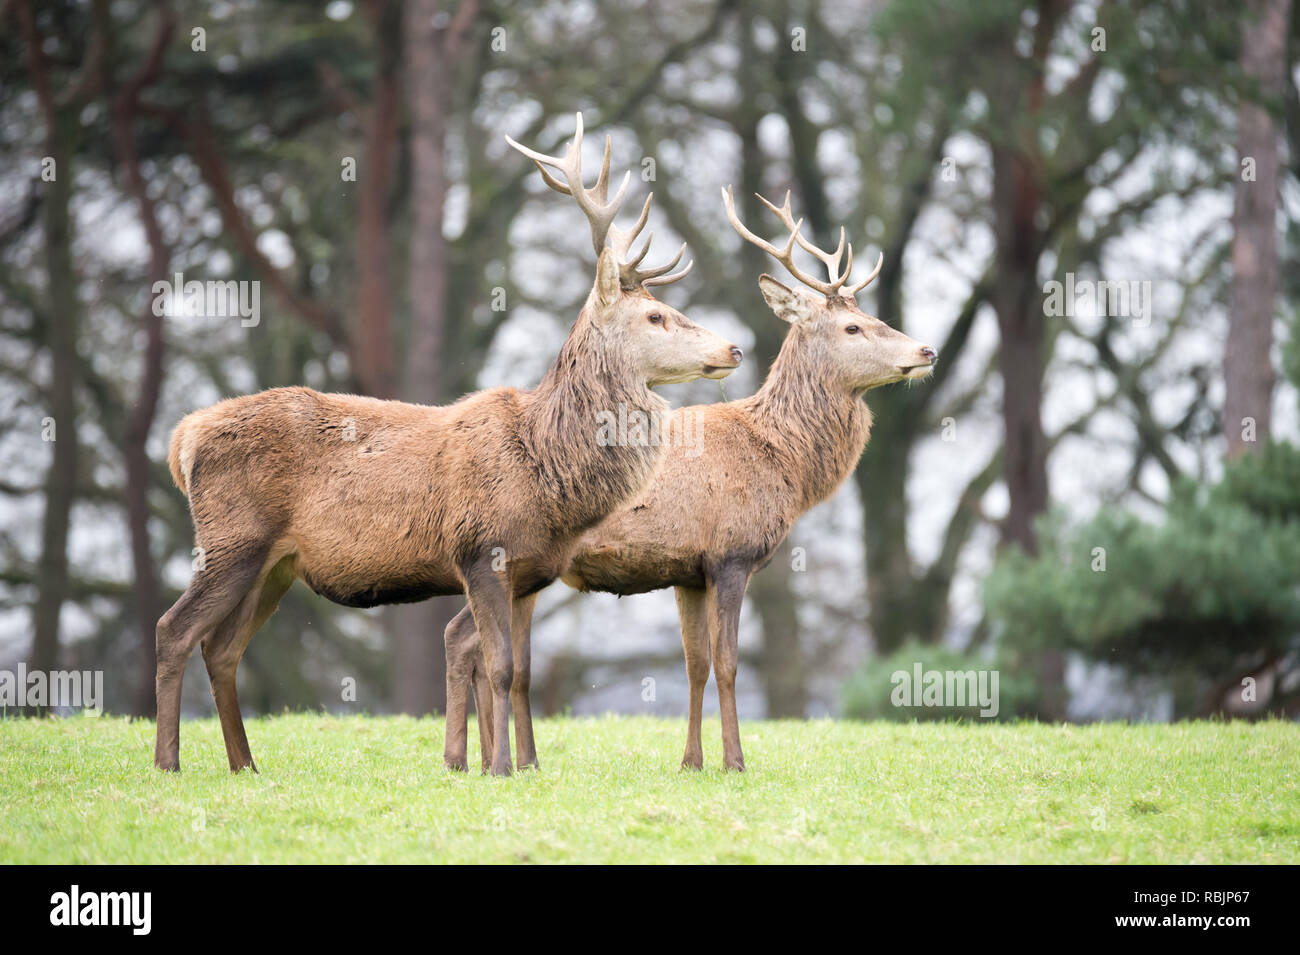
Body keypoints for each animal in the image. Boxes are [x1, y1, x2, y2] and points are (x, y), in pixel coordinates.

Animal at [155, 114, 743, 777]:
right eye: (656, 317)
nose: (733, 348)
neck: (548, 470)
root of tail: (183, 439)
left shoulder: (525, 569)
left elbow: (502, 666)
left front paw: (495, 763)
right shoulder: (481, 550)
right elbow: (502, 666)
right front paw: (499, 767)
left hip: (274, 564)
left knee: (222, 647)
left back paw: (245, 765)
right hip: (232, 538)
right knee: (174, 629)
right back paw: (168, 763)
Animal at [446, 188, 936, 772]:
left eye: (872, 315)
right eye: (853, 327)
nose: (926, 350)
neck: (782, 463)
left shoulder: (687, 571)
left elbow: (694, 665)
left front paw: (691, 761)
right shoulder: (731, 553)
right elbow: (727, 662)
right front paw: (736, 761)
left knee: (481, 646)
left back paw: (503, 761)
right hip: (507, 551)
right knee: (473, 642)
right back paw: (483, 761)